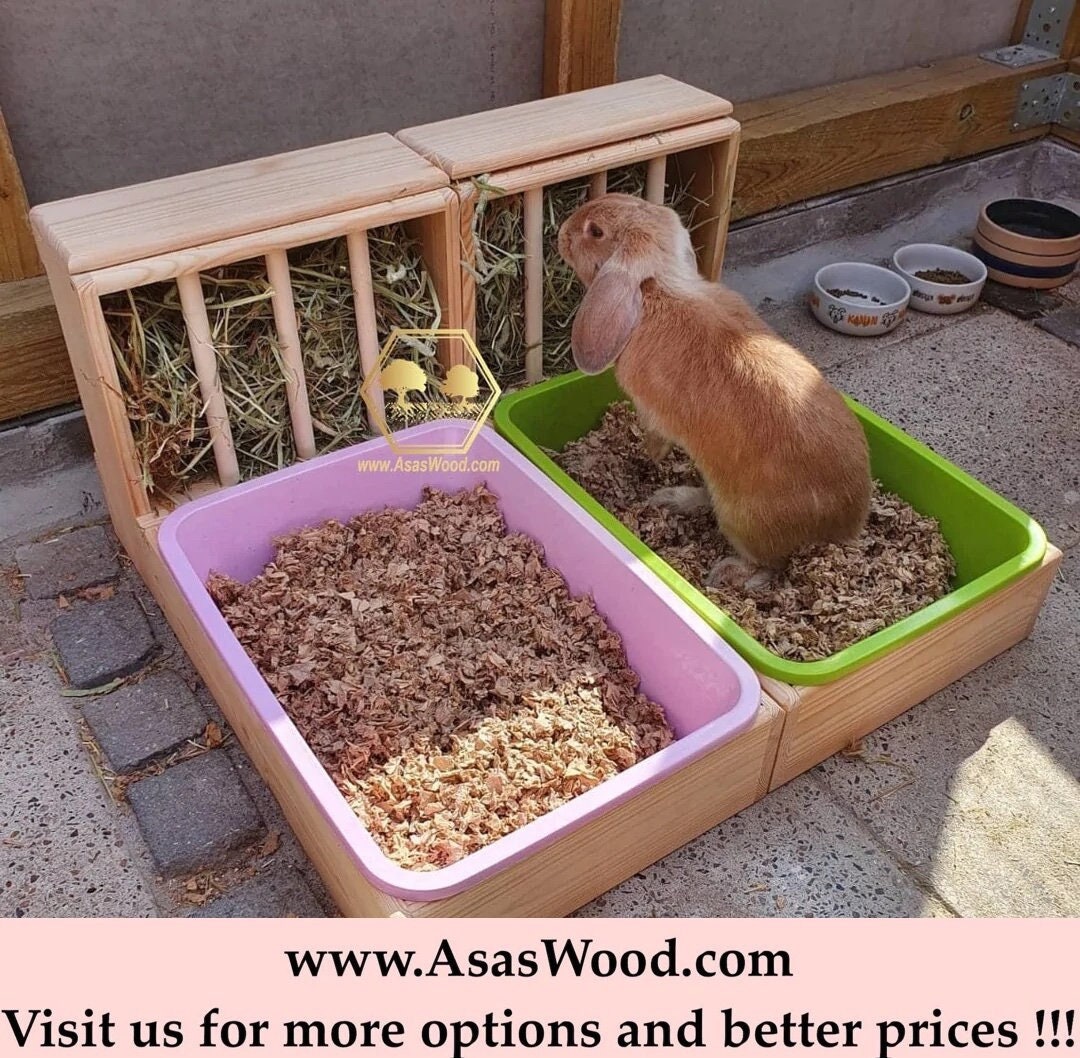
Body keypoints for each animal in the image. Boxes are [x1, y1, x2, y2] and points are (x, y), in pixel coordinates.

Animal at [557, 192, 871, 590]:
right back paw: (670, 499)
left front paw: (648, 457)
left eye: (595, 232)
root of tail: (848, 524)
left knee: (771, 566)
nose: (561, 232)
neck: (657, 289)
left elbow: (655, 439)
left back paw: (728, 573)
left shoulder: (651, 414)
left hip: (742, 522)